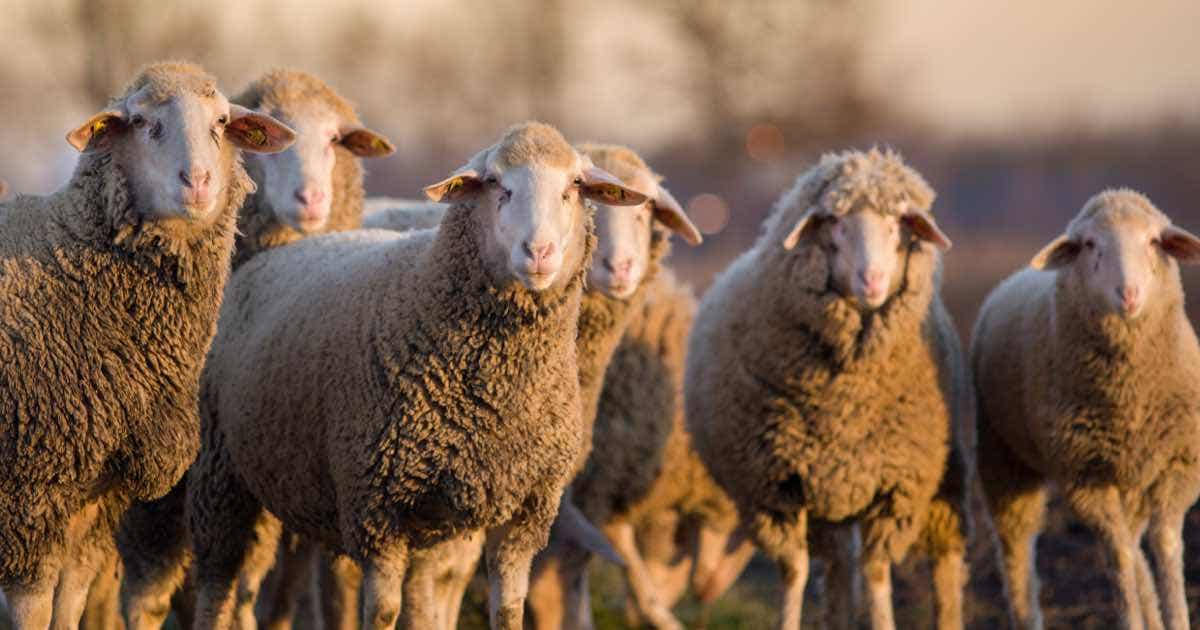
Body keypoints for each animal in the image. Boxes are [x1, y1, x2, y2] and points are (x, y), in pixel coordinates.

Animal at [0, 61, 294, 630]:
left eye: (221, 122)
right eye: (140, 123)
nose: (198, 182)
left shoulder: (101, 495)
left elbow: (70, 598)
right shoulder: (30, 488)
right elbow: (33, 606)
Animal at [186, 121, 650, 630]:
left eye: (573, 187)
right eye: (496, 184)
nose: (539, 251)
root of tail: (276, 254)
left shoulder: (525, 511)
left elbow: (508, 610)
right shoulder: (375, 506)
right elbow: (382, 612)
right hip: (220, 471)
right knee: (218, 582)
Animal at [685, 148, 973, 630]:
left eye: (898, 223)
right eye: (835, 221)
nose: (873, 280)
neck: (847, 403)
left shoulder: (895, 491)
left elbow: (877, 574)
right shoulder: (773, 489)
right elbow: (794, 571)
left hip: (944, 483)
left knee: (945, 563)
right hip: (828, 499)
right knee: (838, 566)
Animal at [971, 189, 1200, 630]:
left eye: (1154, 241)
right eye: (1091, 244)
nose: (1128, 293)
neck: (1130, 397)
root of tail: (1014, 275)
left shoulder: (1178, 465)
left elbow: (1164, 547)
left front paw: (1175, 618)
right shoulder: (1085, 478)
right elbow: (1119, 558)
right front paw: (1131, 620)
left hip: (1131, 478)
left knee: (1135, 539)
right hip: (1002, 461)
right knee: (1016, 550)